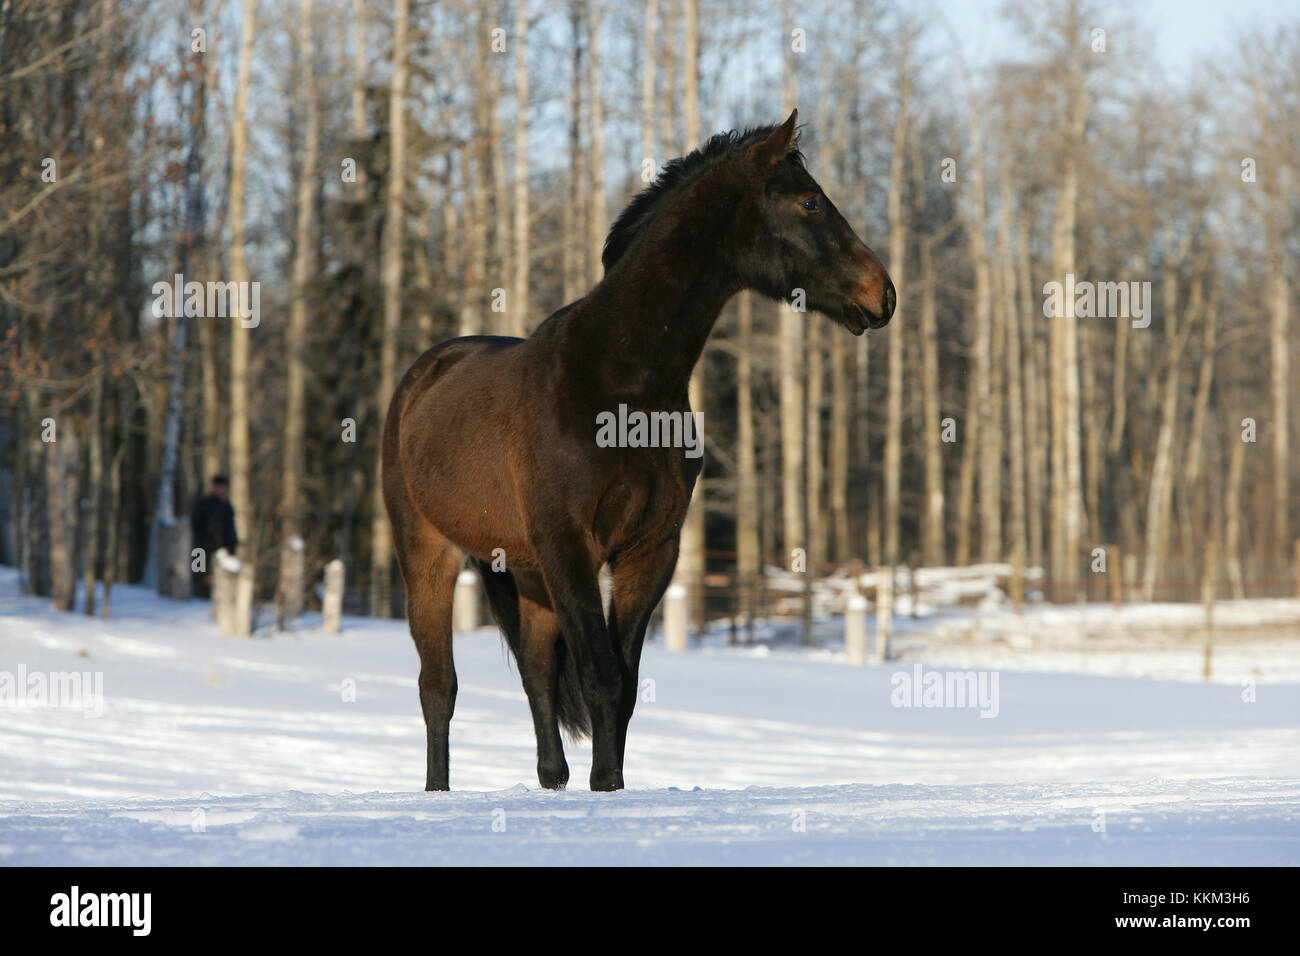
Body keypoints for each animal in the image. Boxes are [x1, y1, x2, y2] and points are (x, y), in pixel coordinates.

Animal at [382, 109, 895, 792]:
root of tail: (423, 376)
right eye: (810, 201)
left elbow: (621, 687)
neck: (619, 385)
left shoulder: (649, 552)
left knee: (537, 676)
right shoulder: (572, 550)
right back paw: (437, 792)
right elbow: (600, 678)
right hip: (429, 557)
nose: (883, 294)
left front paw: (610, 788)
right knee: (439, 687)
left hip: (525, 572)